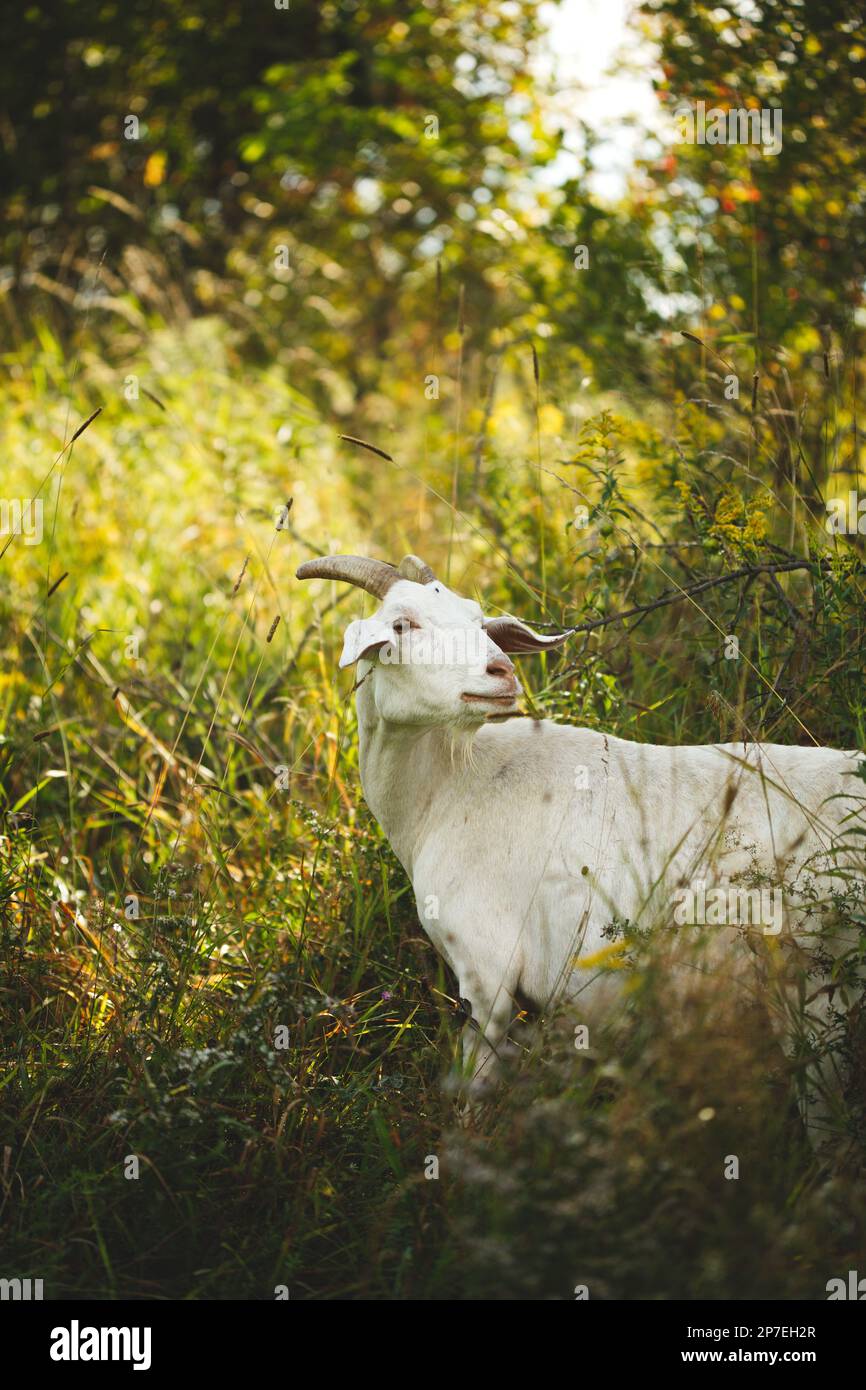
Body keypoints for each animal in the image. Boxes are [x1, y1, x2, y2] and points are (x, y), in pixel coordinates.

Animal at [297, 552, 865, 1136]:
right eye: (401, 625)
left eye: (479, 621)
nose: (502, 673)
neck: (453, 787)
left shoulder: (486, 972)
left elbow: (476, 1087)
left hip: (819, 992)